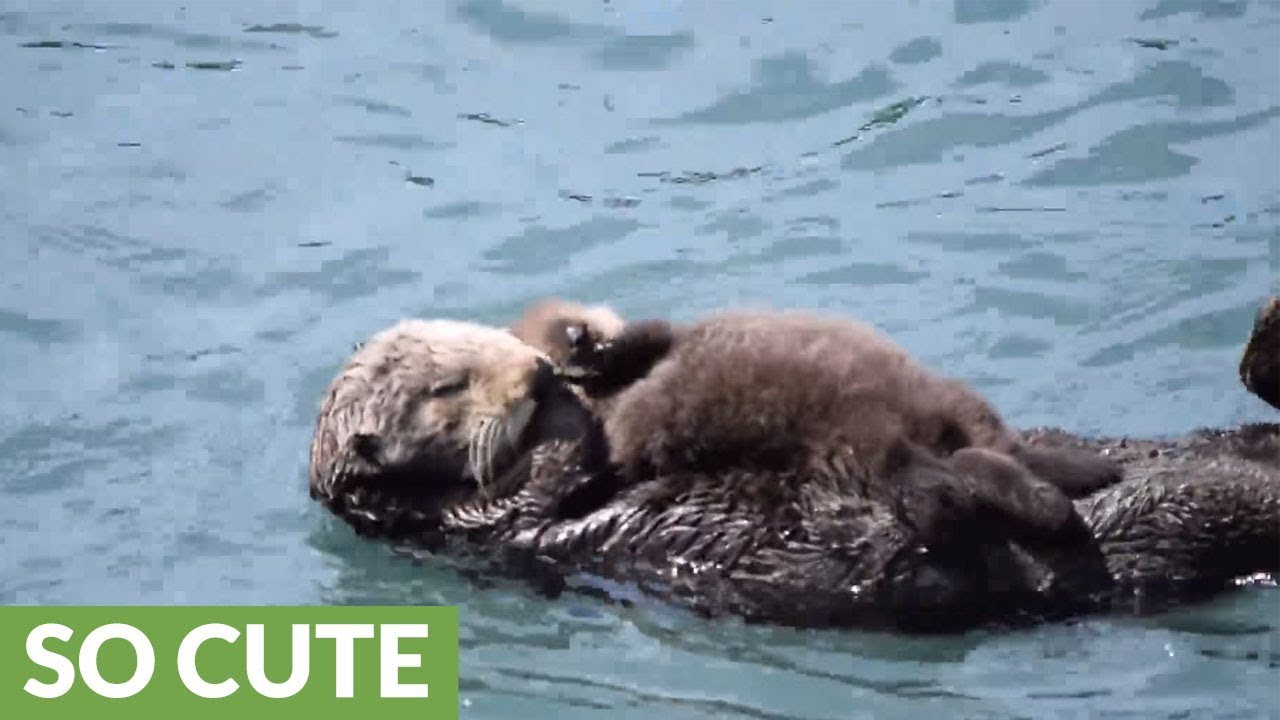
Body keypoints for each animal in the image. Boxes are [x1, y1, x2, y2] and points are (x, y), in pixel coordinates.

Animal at [308, 317, 1279, 632]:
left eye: (486, 340)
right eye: (446, 387)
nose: (537, 373)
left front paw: (581, 370)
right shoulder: (467, 530)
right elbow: (550, 484)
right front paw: (564, 411)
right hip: (1179, 519)